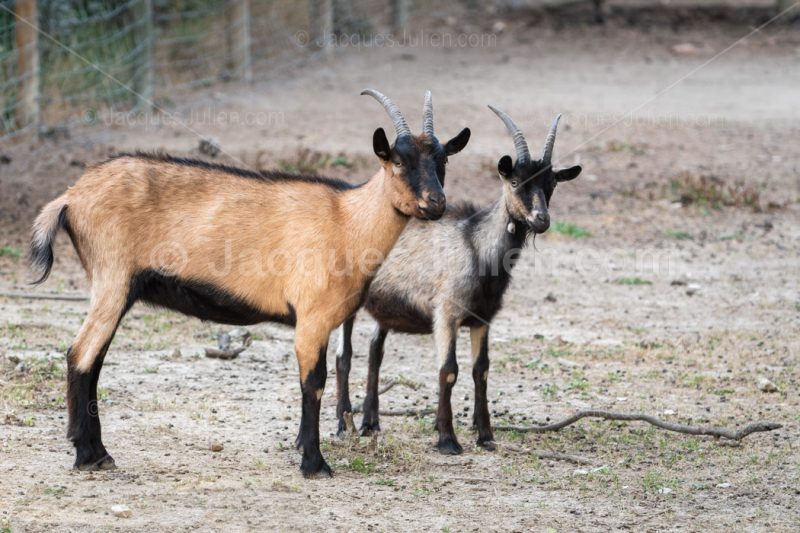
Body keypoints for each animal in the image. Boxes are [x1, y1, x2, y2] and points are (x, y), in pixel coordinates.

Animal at [29, 89, 471, 477]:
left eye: (443, 160)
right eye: (398, 161)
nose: (436, 203)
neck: (347, 220)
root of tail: (70, 197)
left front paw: (301, 446)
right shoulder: (312, 317)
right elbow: (314, 383)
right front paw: (314, 464)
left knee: (91, 359)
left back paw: (95, 452)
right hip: (113, 278)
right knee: (81, 355)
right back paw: (90, 456)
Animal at [336, 106, 581, 453]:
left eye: (552, 184)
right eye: (515, 180)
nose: (541, 220)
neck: (476, 245)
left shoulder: (483, 318)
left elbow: (482, 370)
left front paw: (486, 436)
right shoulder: (447, 313)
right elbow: (448, 370)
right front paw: (447, 439)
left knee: (374, 350)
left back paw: (371, 423)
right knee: (344, 356)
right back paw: (343, 425)